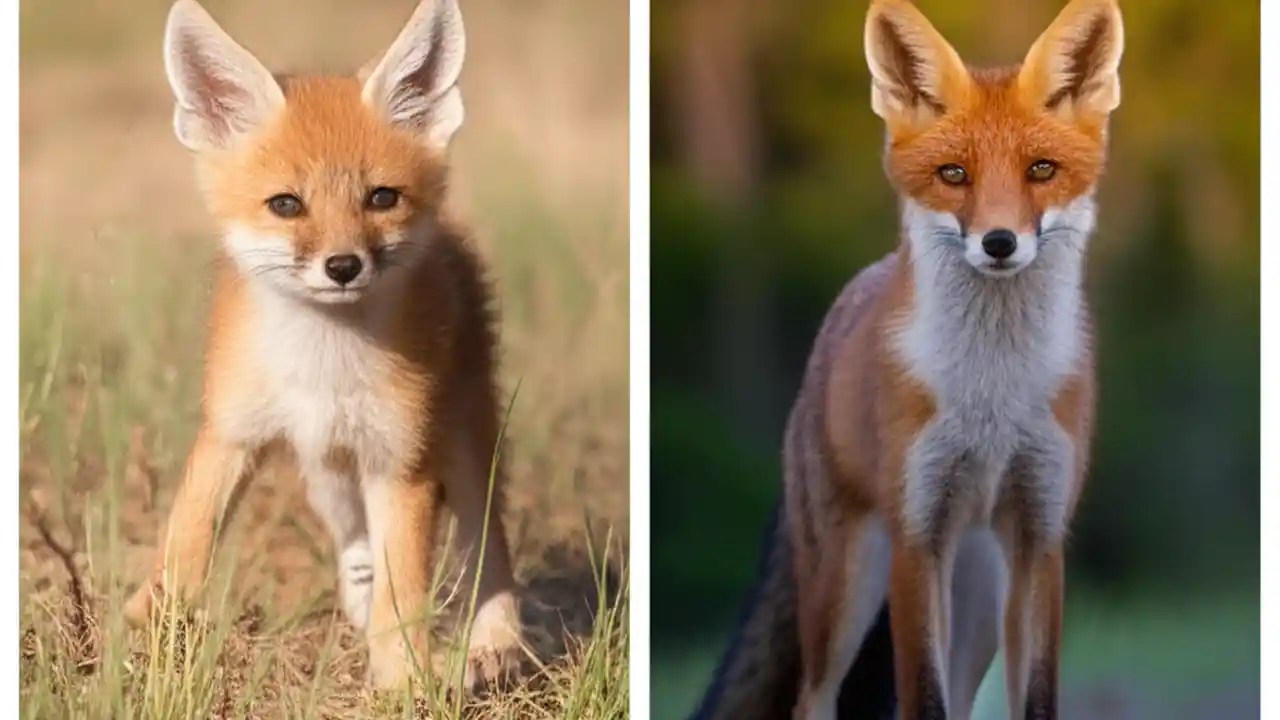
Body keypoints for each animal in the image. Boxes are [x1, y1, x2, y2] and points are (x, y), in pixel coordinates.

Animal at [122, 0, 524, 691]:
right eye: (286, 204)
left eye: (381, 198)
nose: (343, 266)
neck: (322, 366)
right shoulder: (232, 433)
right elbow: (184, 548)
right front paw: (144, 639)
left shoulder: (400, 459)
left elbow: (404, 592)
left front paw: (404, 680)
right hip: (327, 476)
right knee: (355, 541)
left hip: (463, 439)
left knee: (485, 545)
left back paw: (497, 643)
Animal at [692, 0, 1123, 718]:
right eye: (954, 175)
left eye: (1041, 170)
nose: (999, 242)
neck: (991, 395)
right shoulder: (917, 537)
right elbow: (923, 700)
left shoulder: (1041, 538)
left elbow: (1035, 699)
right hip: (847, 587)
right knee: (813, 698)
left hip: (978, 602)